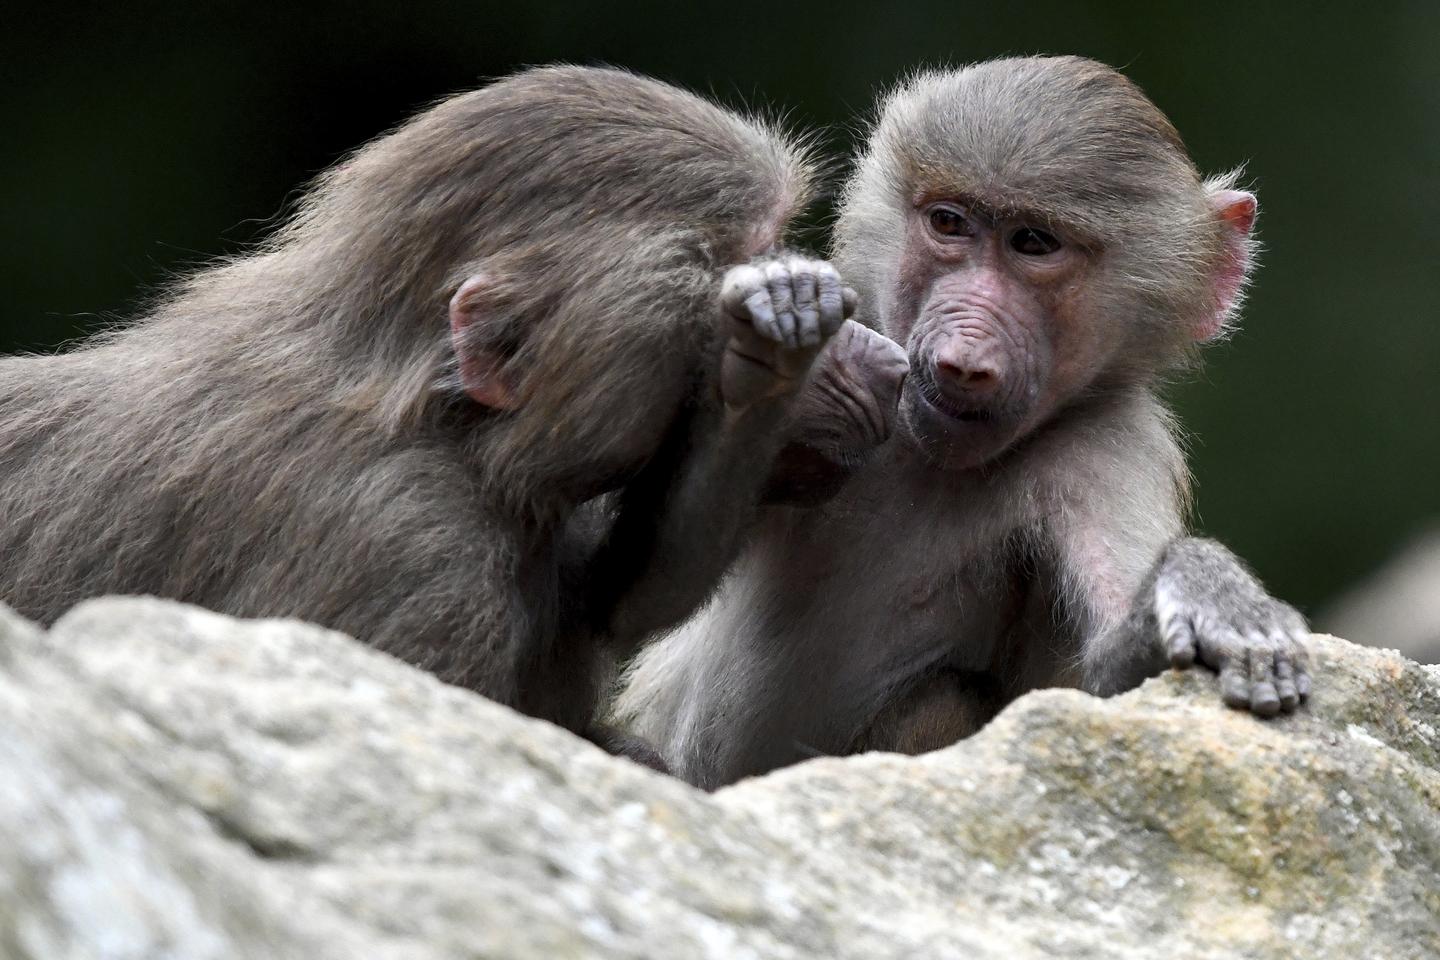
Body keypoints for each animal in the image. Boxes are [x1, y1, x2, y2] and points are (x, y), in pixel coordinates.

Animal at [0, 65, 862, 757]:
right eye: (733, 268)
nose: (859, 346)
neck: (444, 424)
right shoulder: (404, 550)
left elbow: (618, 596)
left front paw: (763, 372)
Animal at [614, 57, 1313, 788]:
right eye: (950, 223)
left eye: (1033, 243)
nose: (962, 359)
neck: (925, 458)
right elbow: (646, 589)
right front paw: (773, 324)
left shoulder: (1107, 447)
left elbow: (1106, 691)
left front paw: (1206, 594)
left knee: (945, 696)